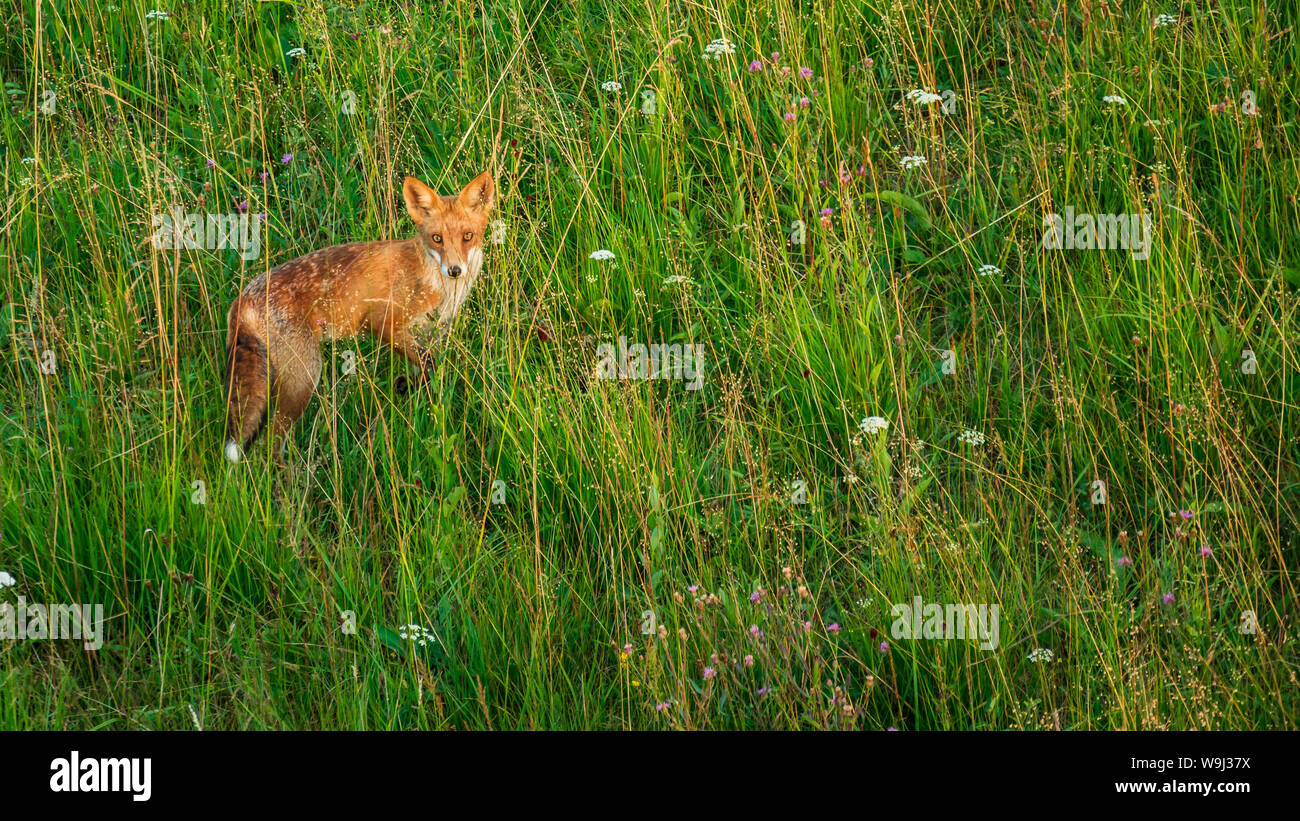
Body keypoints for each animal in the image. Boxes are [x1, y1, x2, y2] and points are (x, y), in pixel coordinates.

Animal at [222, 171, 495, 464]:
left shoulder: (431, 333)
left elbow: (429, 368)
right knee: (270, 443)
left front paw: (408, 387)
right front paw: (410, 387)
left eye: (468, 236)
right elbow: (429, 365)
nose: (454, 270)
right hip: (304, 376)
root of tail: (243, 296)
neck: (433, 281)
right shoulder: (382, 324)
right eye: (437, 238)